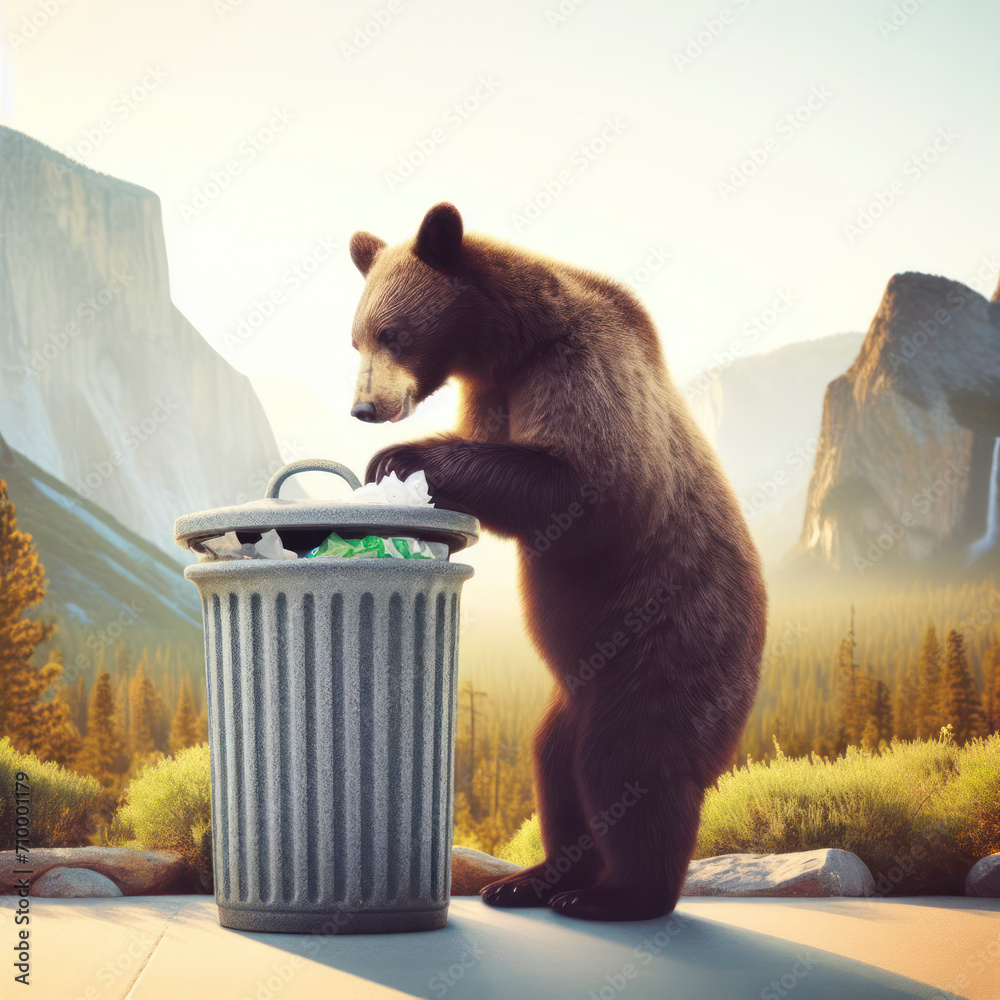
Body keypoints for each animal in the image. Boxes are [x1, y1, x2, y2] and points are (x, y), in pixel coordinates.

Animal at [347, 202, 767, 921]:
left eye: (393, 333)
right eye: (356, 339)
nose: (365, 408)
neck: (512, 343)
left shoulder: (580, 370)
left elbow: (585, 485)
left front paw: (402, 459)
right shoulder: (495, 390)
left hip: (669, 646)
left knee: (627, 760)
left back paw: (619, 895)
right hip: (575, 687)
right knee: (555, 761)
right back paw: (530, 880)